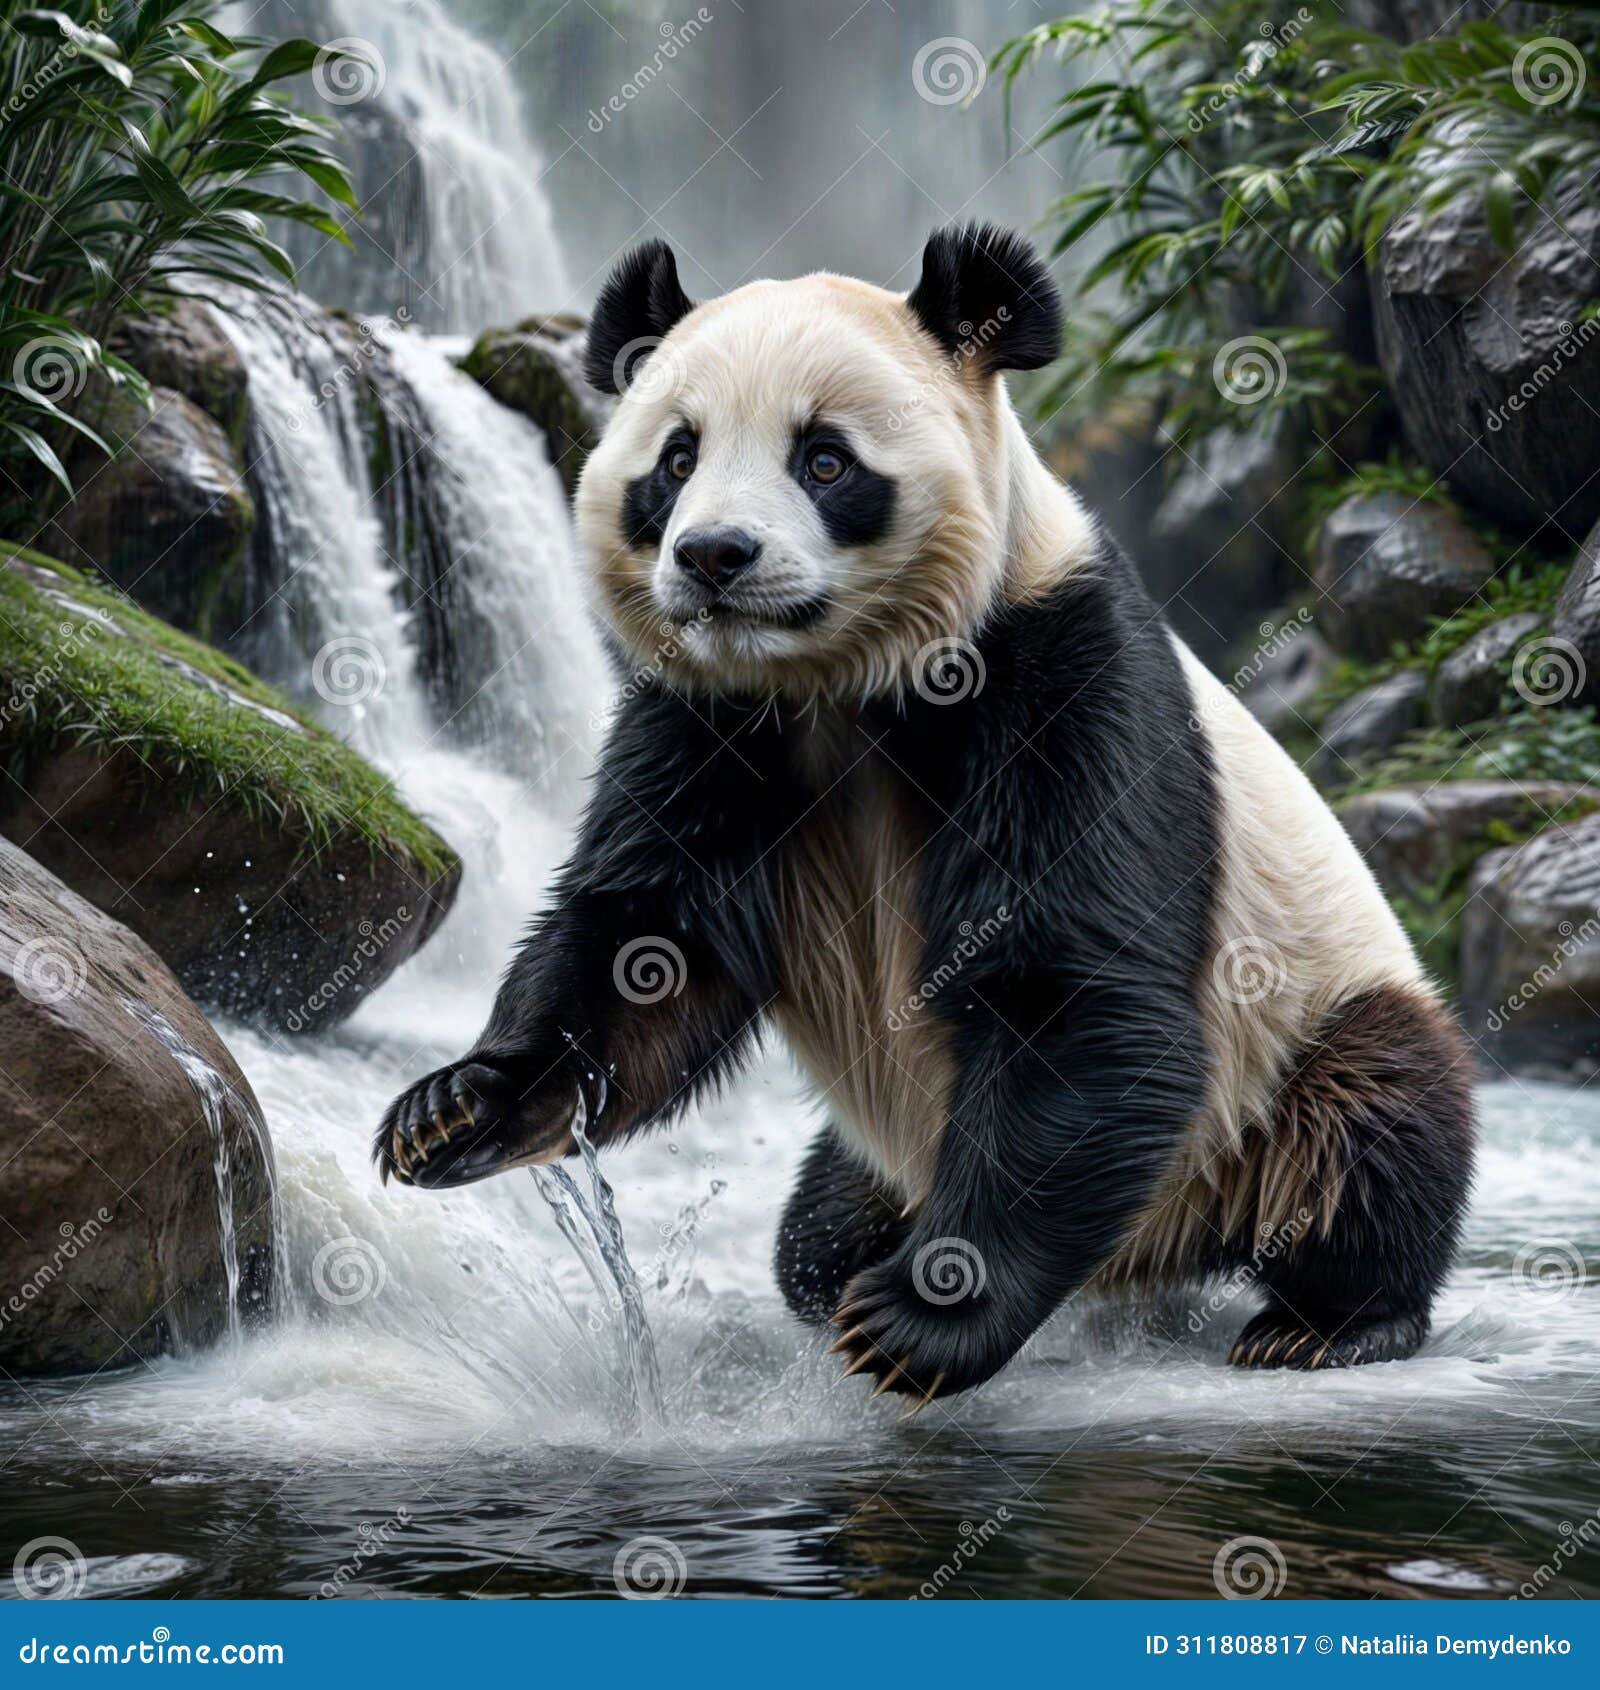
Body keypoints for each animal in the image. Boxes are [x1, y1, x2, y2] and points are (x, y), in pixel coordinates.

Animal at [376, 223, 1476, 1404]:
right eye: (676, 459)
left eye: (824, 460)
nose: (713, 555)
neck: (831, 684)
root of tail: (1149, 1252)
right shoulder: (705, 725)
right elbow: (645, 942)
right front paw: (459, 1107)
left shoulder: (1060, 670)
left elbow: (1070, 986)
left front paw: (925, 1312)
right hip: (893, 1146)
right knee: (814, 1232)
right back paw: (839, 1263)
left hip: (1297, 1033)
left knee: (1374, 1120)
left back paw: (1325, 1321)